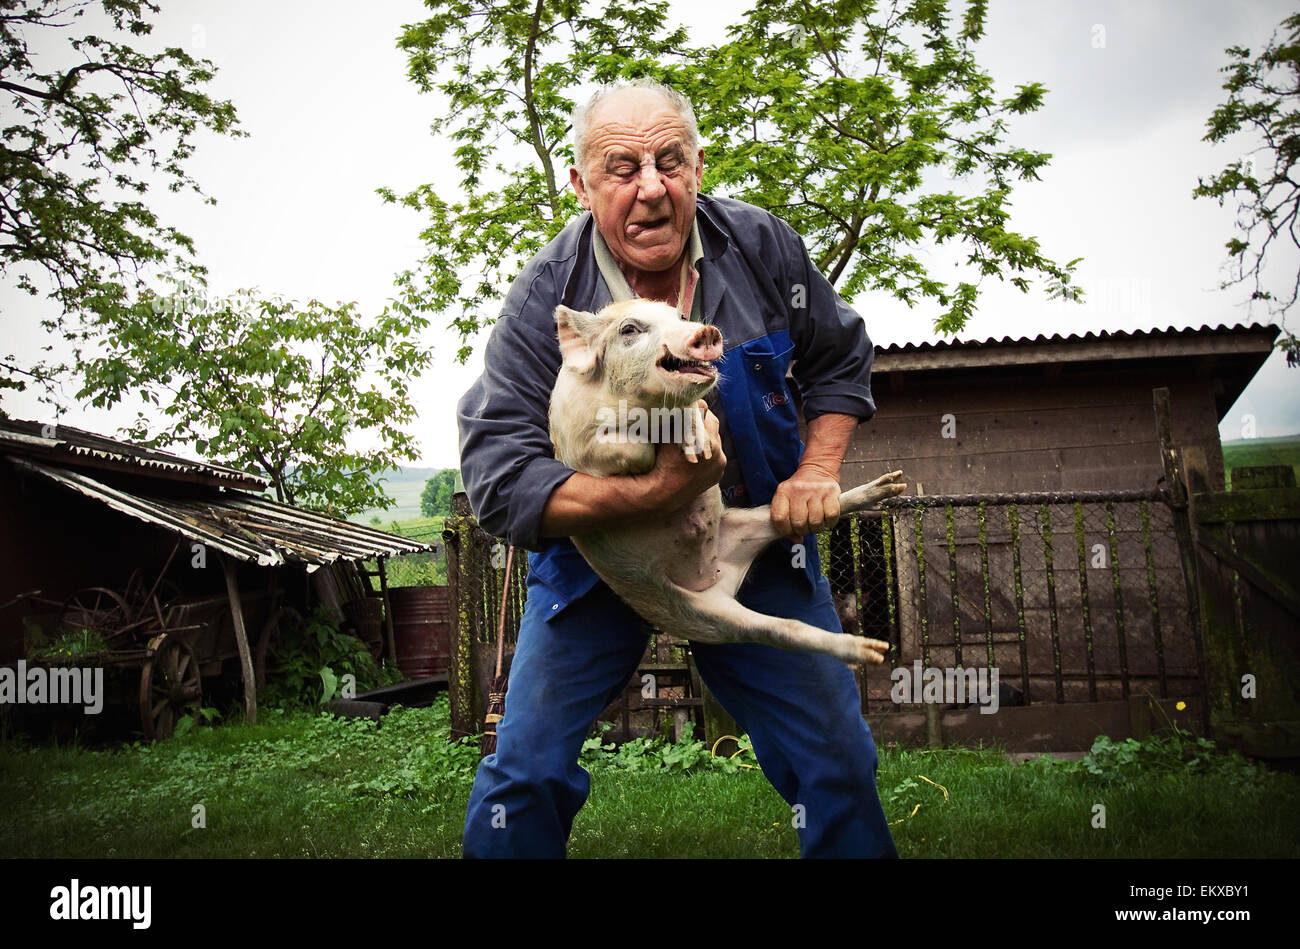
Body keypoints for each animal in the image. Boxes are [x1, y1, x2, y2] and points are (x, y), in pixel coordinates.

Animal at [548, 299, 907, 666]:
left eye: (679, 317)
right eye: (630, 329)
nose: (705, 331)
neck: (651, 415)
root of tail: (717, 575)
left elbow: (696, 411)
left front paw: (698, 445)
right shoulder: (579, 446)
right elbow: (630, 449)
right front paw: (671, 453)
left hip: (749, 520)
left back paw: (892, 485)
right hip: (695, 615)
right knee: (778, 630)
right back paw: (871, 652)